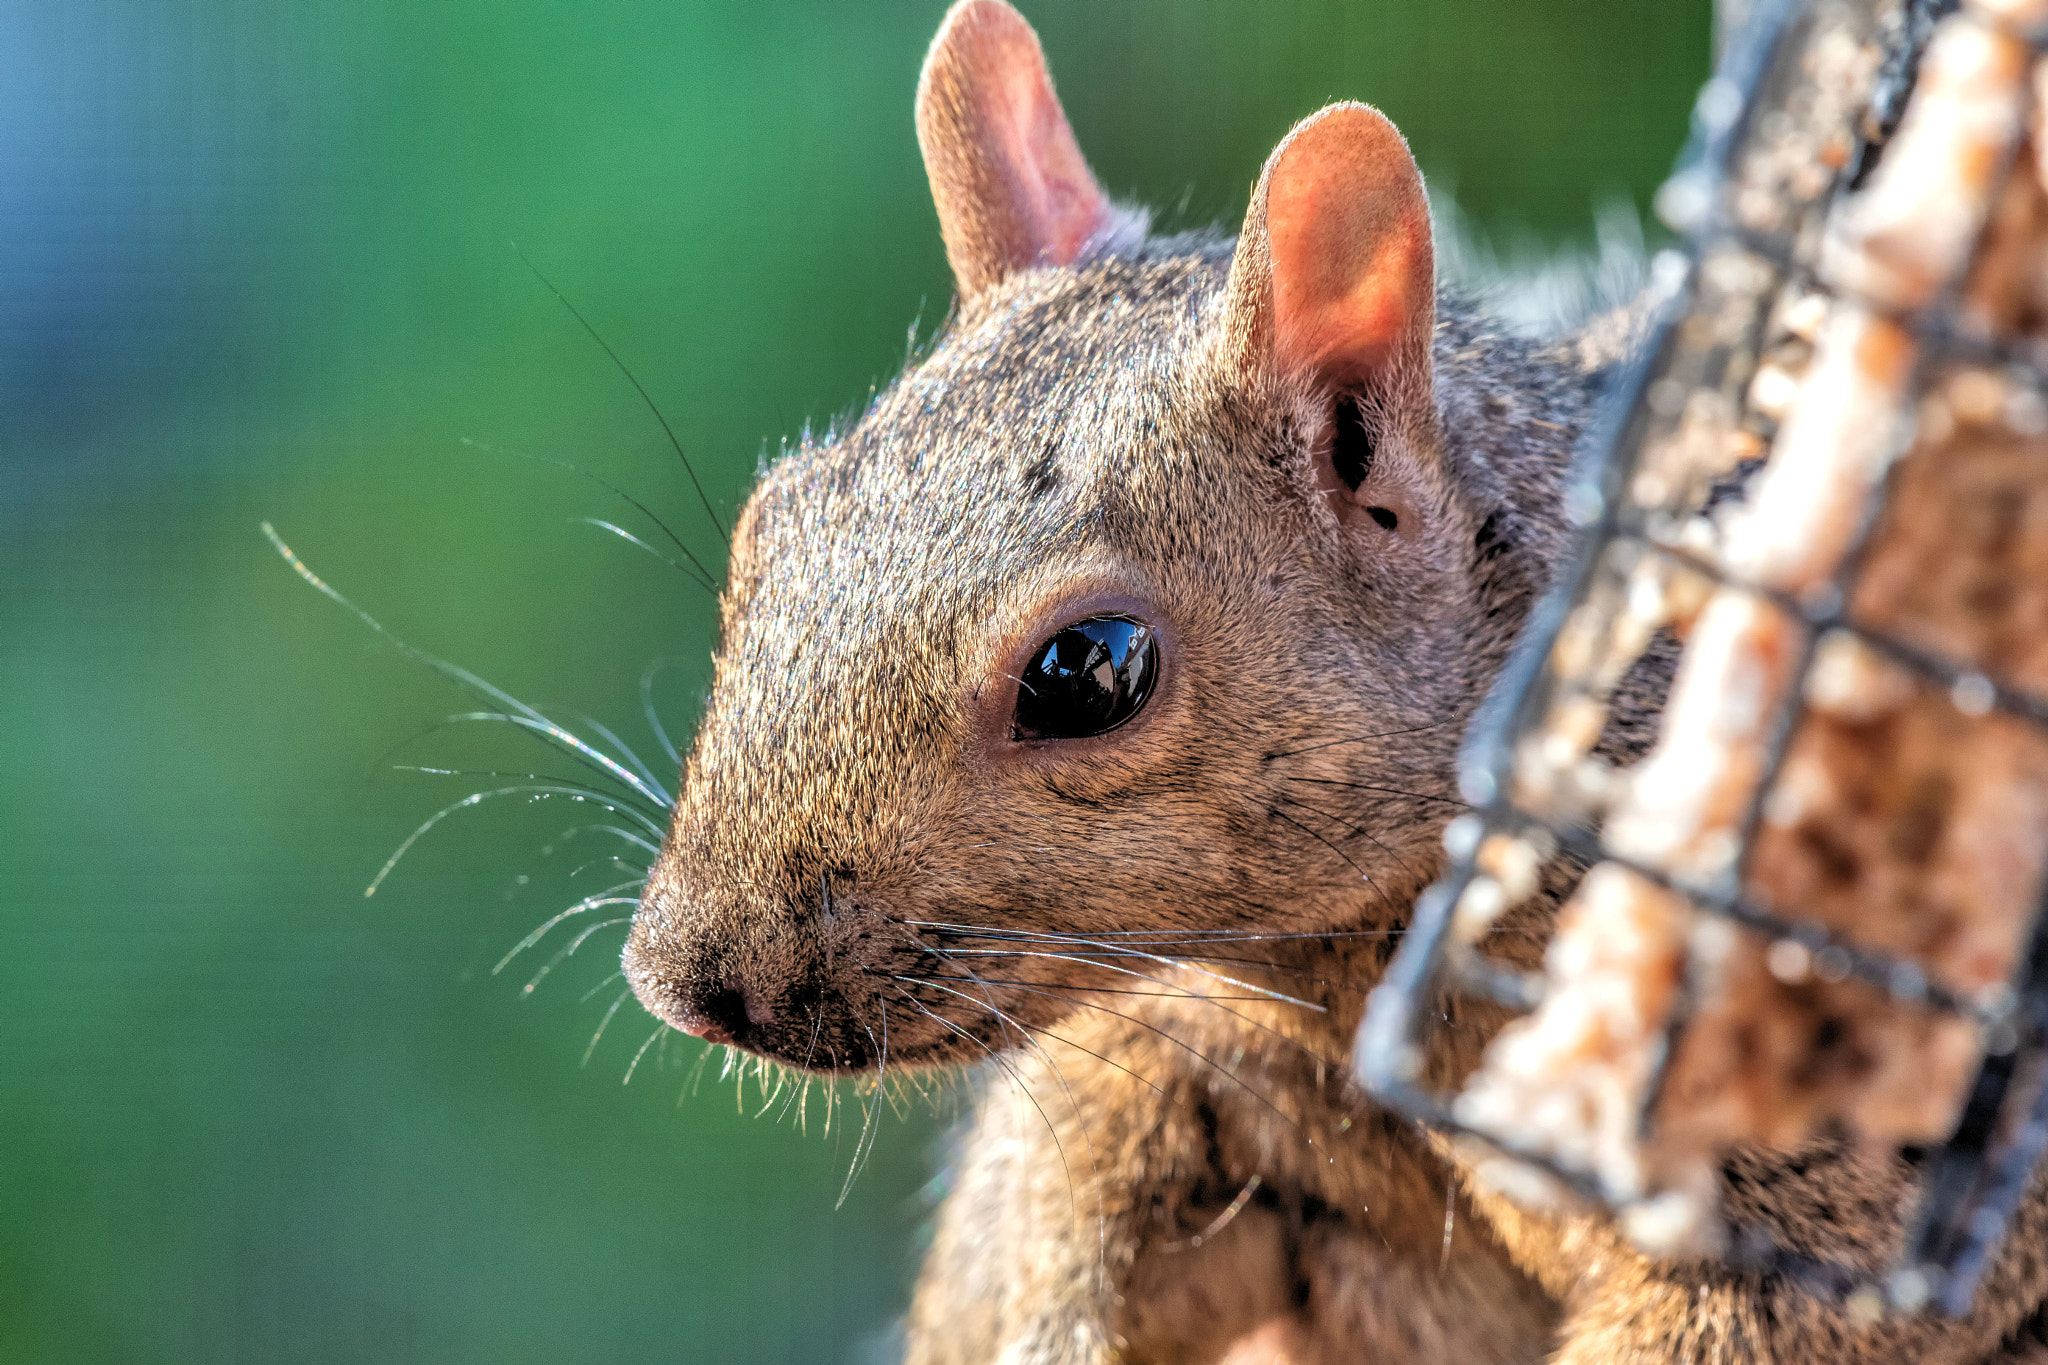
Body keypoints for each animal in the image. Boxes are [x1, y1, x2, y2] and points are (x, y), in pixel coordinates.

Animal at [619, 3, 2048, 1361]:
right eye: (770, 519)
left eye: (1088, 671)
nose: (686, 980)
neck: (1330, 983)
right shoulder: (1163, 1059)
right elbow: (1049, 1229)